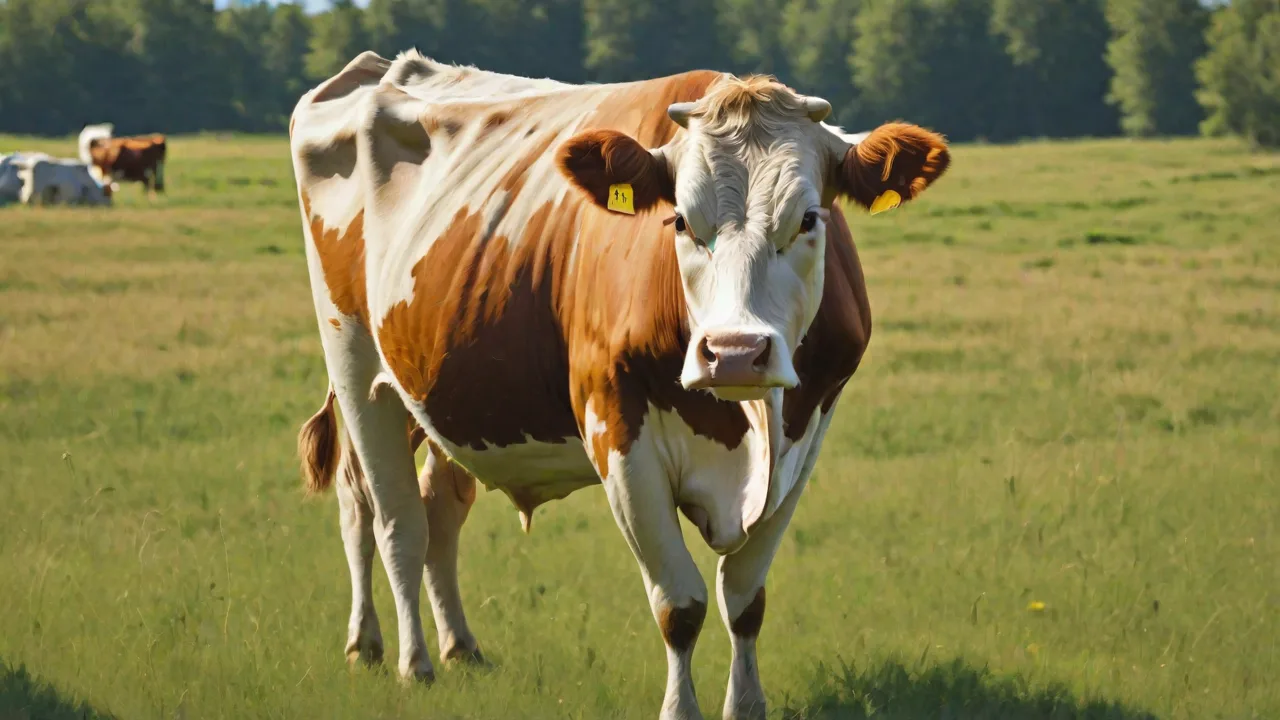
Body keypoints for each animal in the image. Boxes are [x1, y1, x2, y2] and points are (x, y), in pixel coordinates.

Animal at [289, 50, 949, 719]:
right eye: (680, 221)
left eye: (809, 218)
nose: (735, 353)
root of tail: (375, 68)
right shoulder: (619, 434)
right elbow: (679, 605)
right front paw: (680, 708)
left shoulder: (805, 436)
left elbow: (744, 599)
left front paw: (745, 705)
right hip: (357, 368)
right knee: (388, 516)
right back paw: (399, 656)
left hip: (439, 389)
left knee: (436, 509)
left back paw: (457, 648)